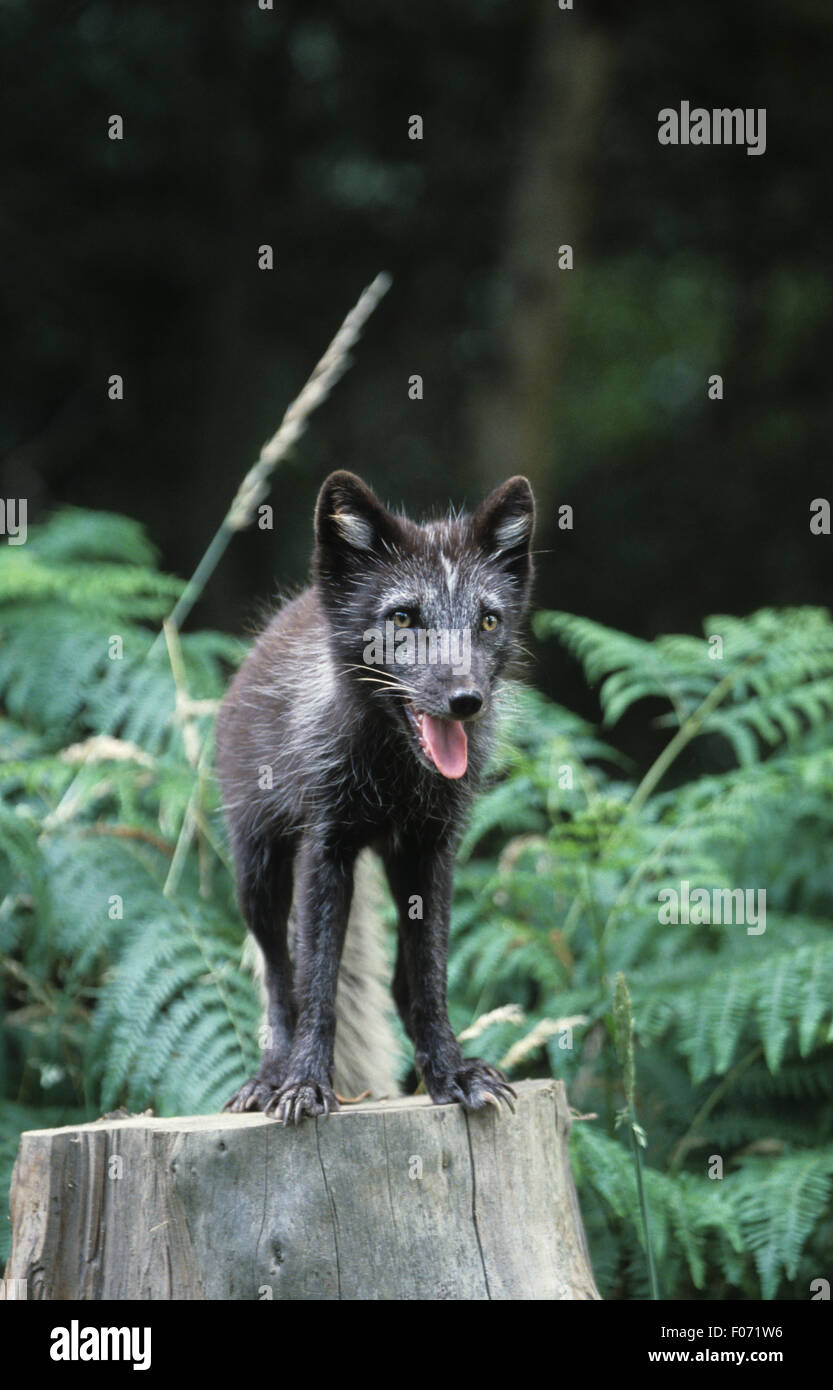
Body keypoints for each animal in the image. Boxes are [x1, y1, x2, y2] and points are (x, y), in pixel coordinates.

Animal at [216, 469, 535, 1124]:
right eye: (405, 618)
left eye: (488, 621)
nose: (467, 700)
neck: (394, 774)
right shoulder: (325, 846)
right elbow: (315, 986)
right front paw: (305, 1084)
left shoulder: (432, 849)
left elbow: (430, 980)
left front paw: (451, 1073)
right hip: (258, 872)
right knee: (280, 981)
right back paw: (269, 1076)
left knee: (400, 984)